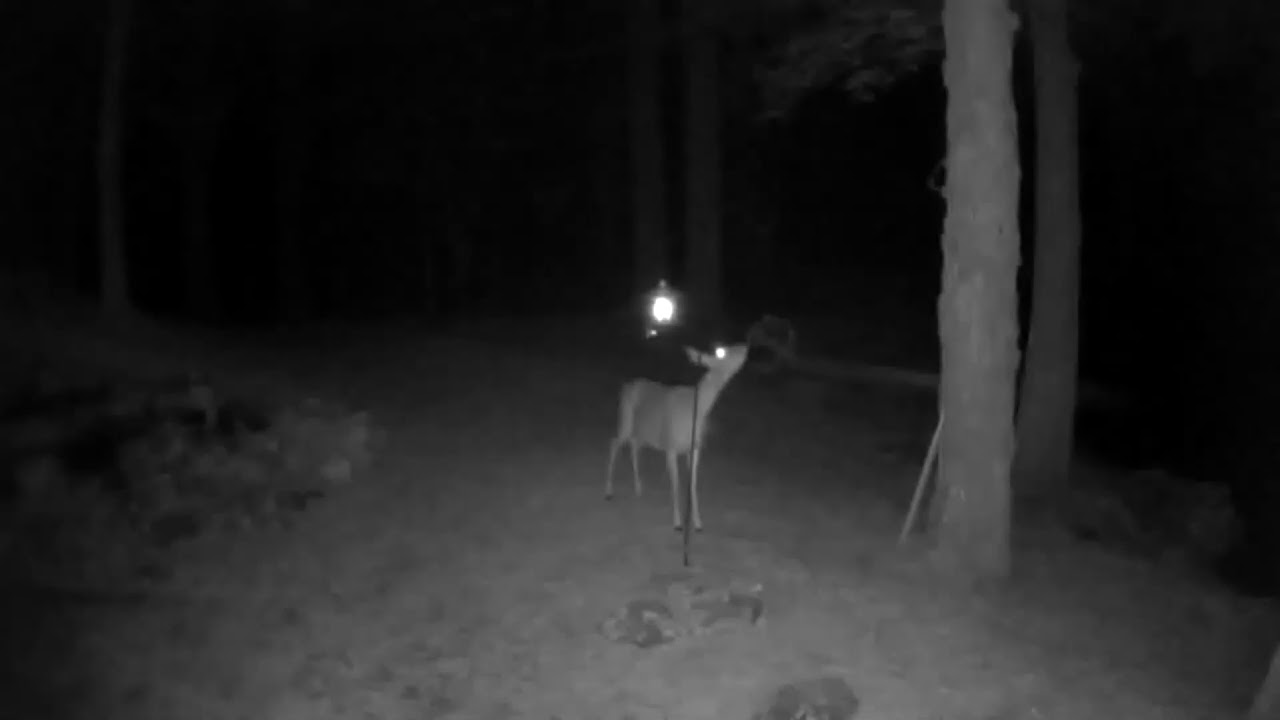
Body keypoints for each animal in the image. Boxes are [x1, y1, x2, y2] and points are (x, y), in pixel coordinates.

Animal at [604, 343, 750, 531]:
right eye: (721, 352)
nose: (745, 346)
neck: (696, 411)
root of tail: (625, 387)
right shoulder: (671, 446)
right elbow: (676, 484)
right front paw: (678, 523)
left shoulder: (695, 448)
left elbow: (692, 485)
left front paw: (698, 523)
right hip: (625, 419)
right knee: (614, 443)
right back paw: (608, 491)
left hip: (643, 431)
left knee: (634, 447)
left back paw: (638, 488)